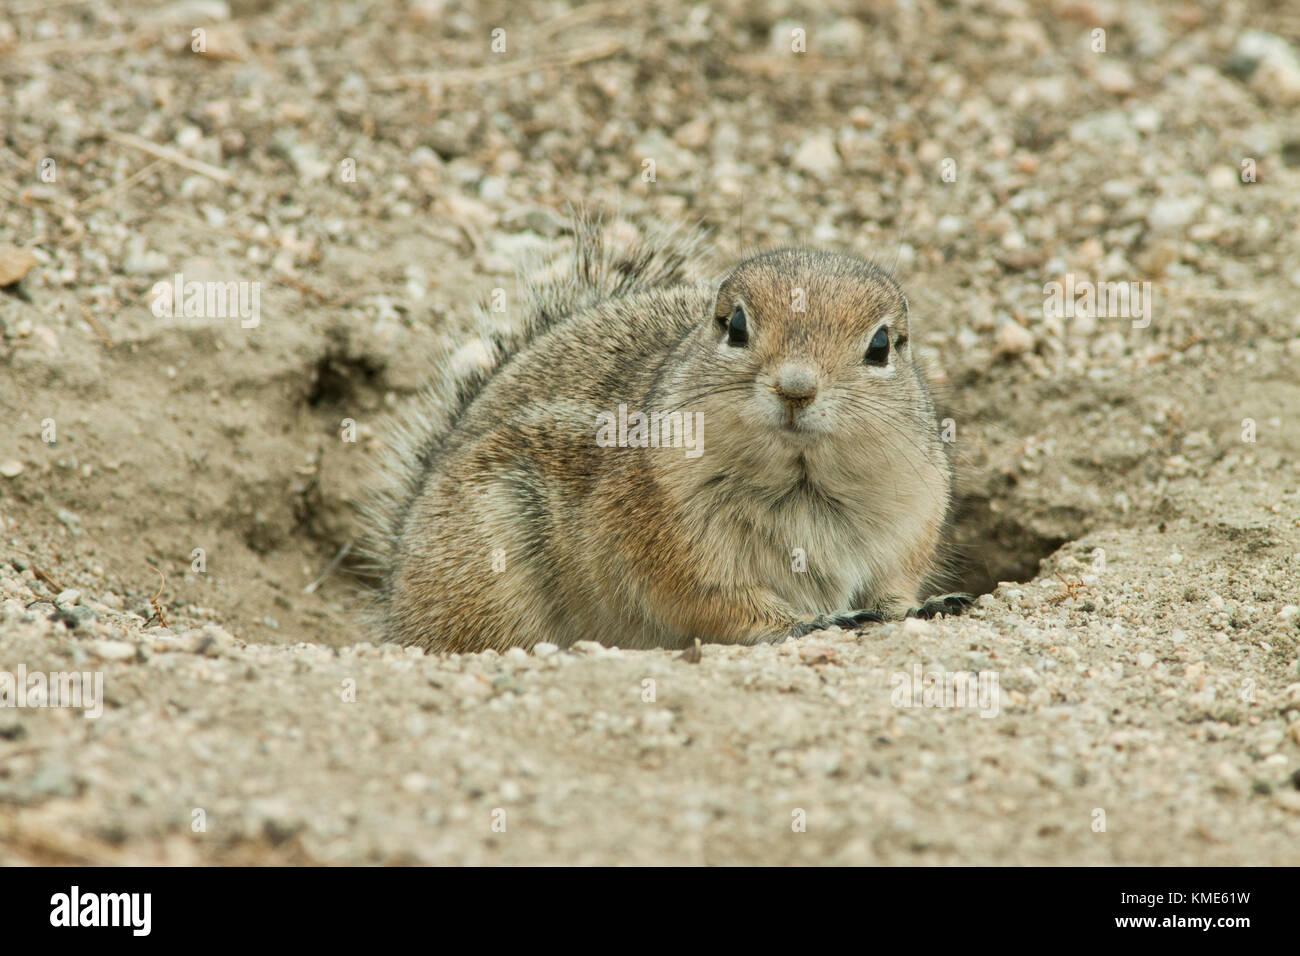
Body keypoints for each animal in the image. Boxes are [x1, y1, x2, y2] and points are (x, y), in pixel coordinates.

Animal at [357, 215, 971, 653]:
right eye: (736, 326)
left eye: (880, 346)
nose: (796, 388)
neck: (802, 479)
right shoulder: (668, 544)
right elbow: (724, 606)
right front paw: (811, 622)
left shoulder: (907, 529)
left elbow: (891, 591)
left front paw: (923, 606)